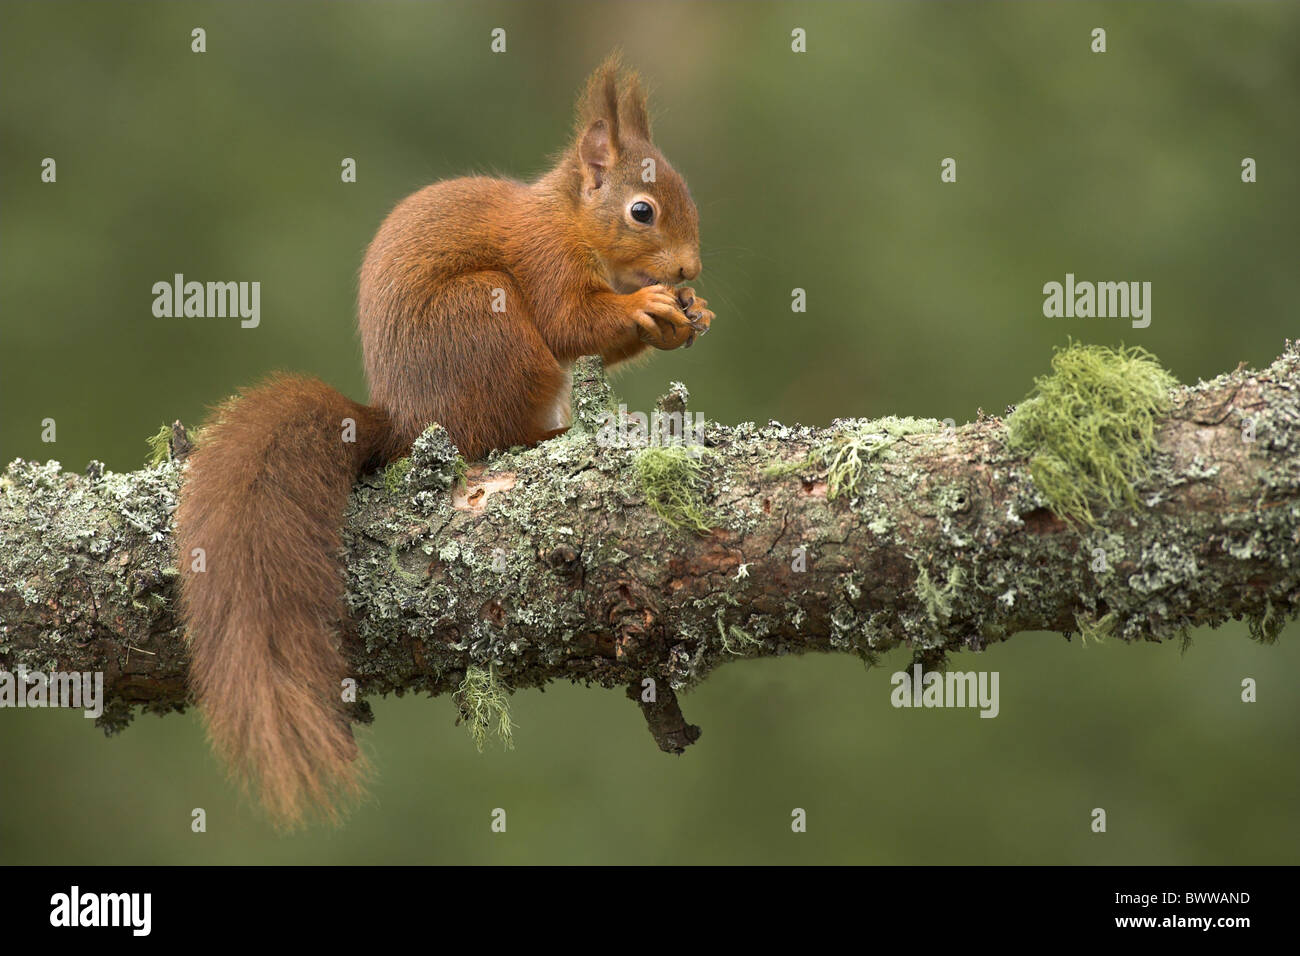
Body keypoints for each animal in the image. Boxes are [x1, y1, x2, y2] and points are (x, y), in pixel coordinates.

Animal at [175, 55, 713, 827]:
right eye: (643, 211)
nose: (690, 271)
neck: (569, 217)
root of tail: (403, 420)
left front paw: (689, 317)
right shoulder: (544, 260)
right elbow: (572, 323)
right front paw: (649, 306)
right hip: (486, 325)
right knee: (495, 433)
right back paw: (547, 436)